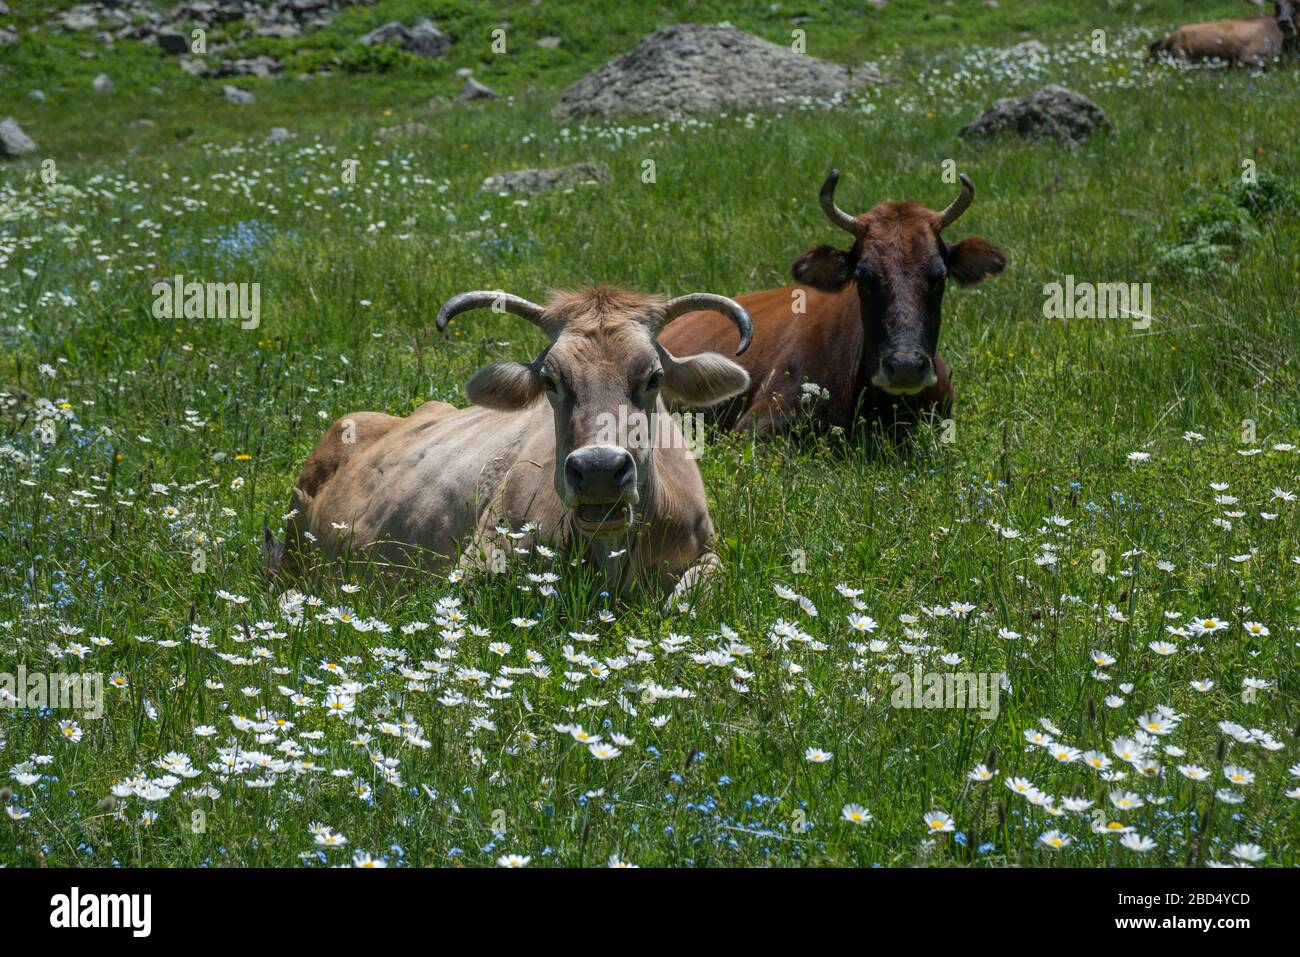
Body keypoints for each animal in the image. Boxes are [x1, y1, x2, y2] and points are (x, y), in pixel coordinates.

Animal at [265, 285, 754, 609]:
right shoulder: (475, 562)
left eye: (654, 377)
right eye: (551, 381)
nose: (599, 470)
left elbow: (686, 600)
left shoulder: (710, 555)